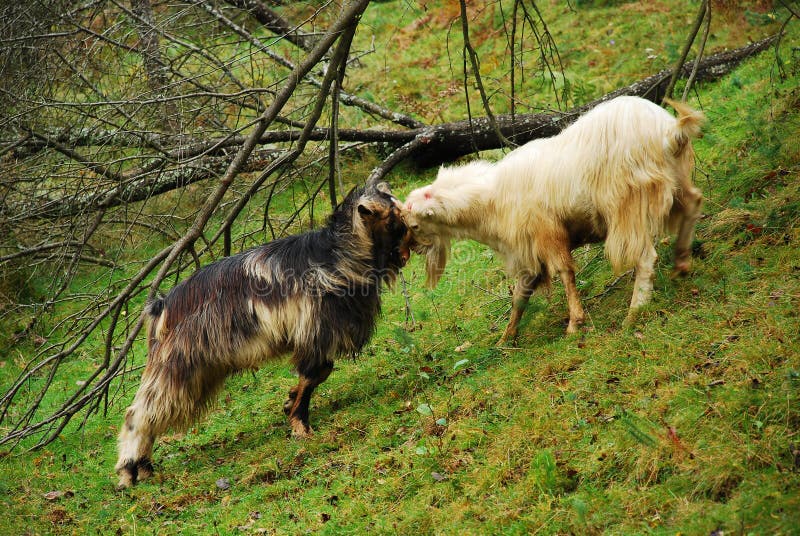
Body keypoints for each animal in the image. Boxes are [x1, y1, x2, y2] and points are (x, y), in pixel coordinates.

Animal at [115, 183, 412, 488]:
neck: (335, 257)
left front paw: (290, 401)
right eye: (392, 220)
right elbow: (314, 374)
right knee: (138, 413)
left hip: (200, 370)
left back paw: (143, 466)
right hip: (176, 367)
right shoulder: (315, 333)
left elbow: (316, 375)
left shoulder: (316, 337)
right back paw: (130, 469)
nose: (406, 252)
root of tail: (161, 307)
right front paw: (300, 425)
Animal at [403, 96, 704, 342]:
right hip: (677, 180)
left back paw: (635, 312)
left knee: (645, 256)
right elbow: (520, 294)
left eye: (415, 225)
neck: (490, 198)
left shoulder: (546, 232)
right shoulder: (527, 249)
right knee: (694, 204)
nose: (410, 252)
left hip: (628, 205)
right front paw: (505, 339)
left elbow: (564, 272)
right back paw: (682, 263)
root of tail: (668, 132)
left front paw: (575, 323)